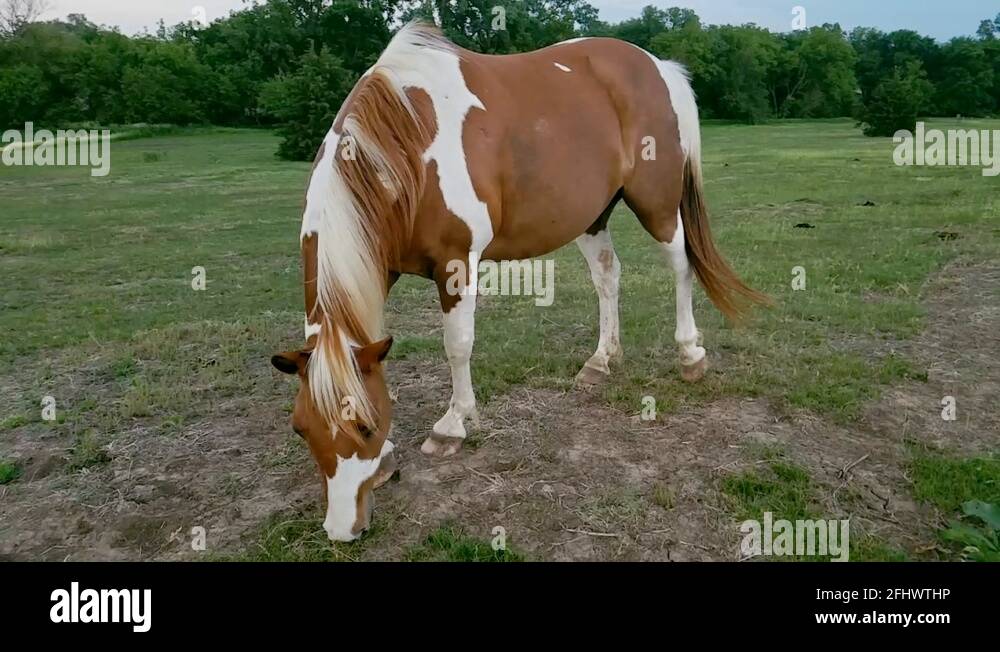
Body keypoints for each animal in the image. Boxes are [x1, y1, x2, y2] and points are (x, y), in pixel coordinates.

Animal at [270, 23, 768, 542]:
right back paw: (601, 361)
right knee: (607, 277)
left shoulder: (457, 263)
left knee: (680, 267)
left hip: (658, 205)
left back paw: (690, 354)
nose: (341, 529)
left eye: (367, 427)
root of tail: (658, 67)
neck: (407, 141)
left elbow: (457, 345)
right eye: (301, 428)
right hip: (592, 216)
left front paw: (452, 425)